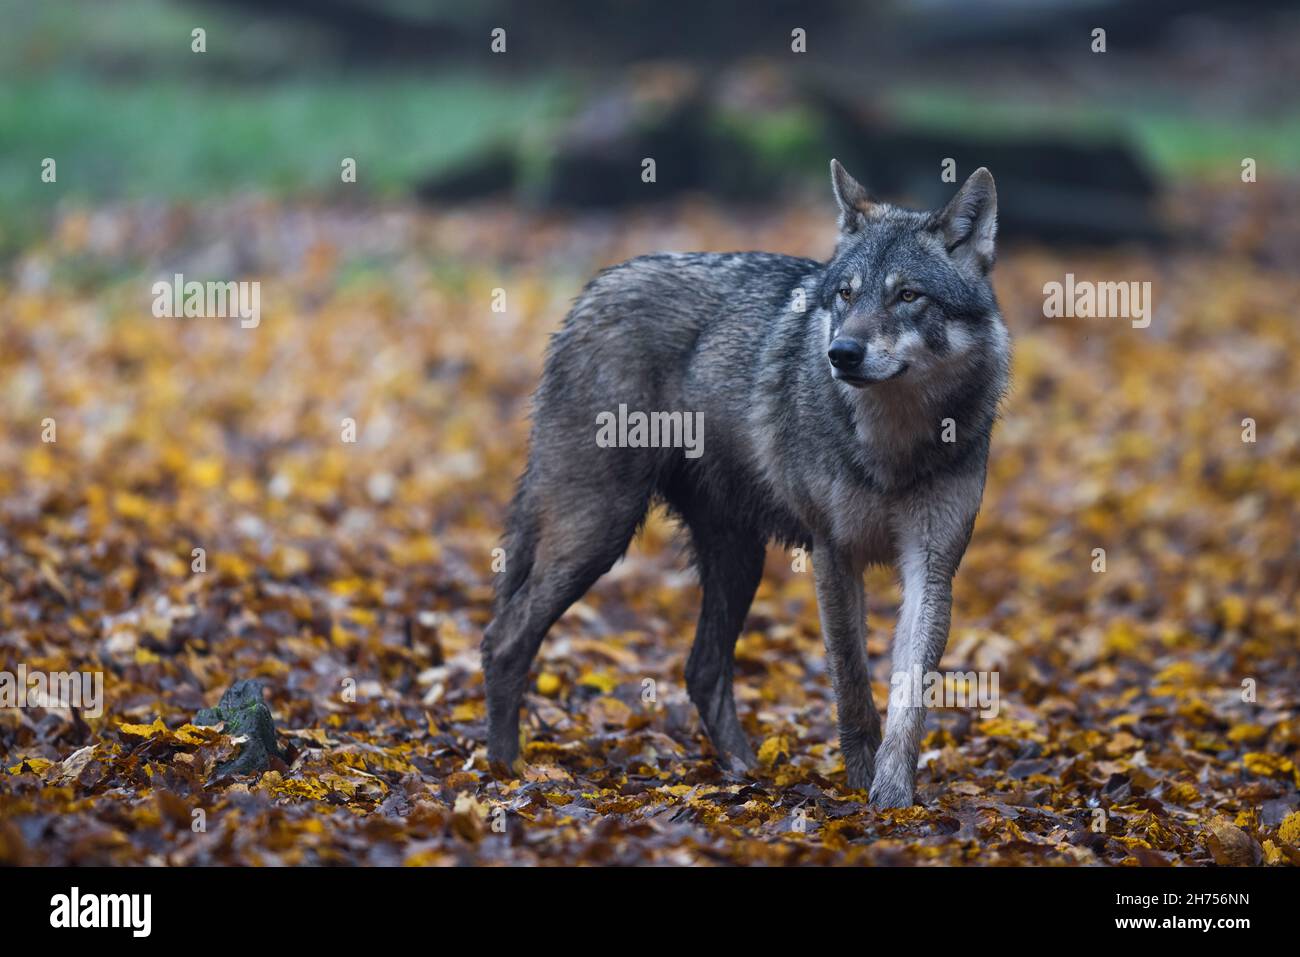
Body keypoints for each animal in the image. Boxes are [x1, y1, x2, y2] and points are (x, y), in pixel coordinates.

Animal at [482, 161, 1010, 807]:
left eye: (908, 295)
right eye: (846, 293)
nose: (841, 353)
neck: (894, 445)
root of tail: (595, 287)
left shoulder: (931, 564)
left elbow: (909, 695)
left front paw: (893, 798)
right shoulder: (834, 555)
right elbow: (853, 687)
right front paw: (861, 788)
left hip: (736, 558)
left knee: (701, 668)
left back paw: (745, 774)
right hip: (598, 533)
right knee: (504, 640)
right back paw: (508, 772)